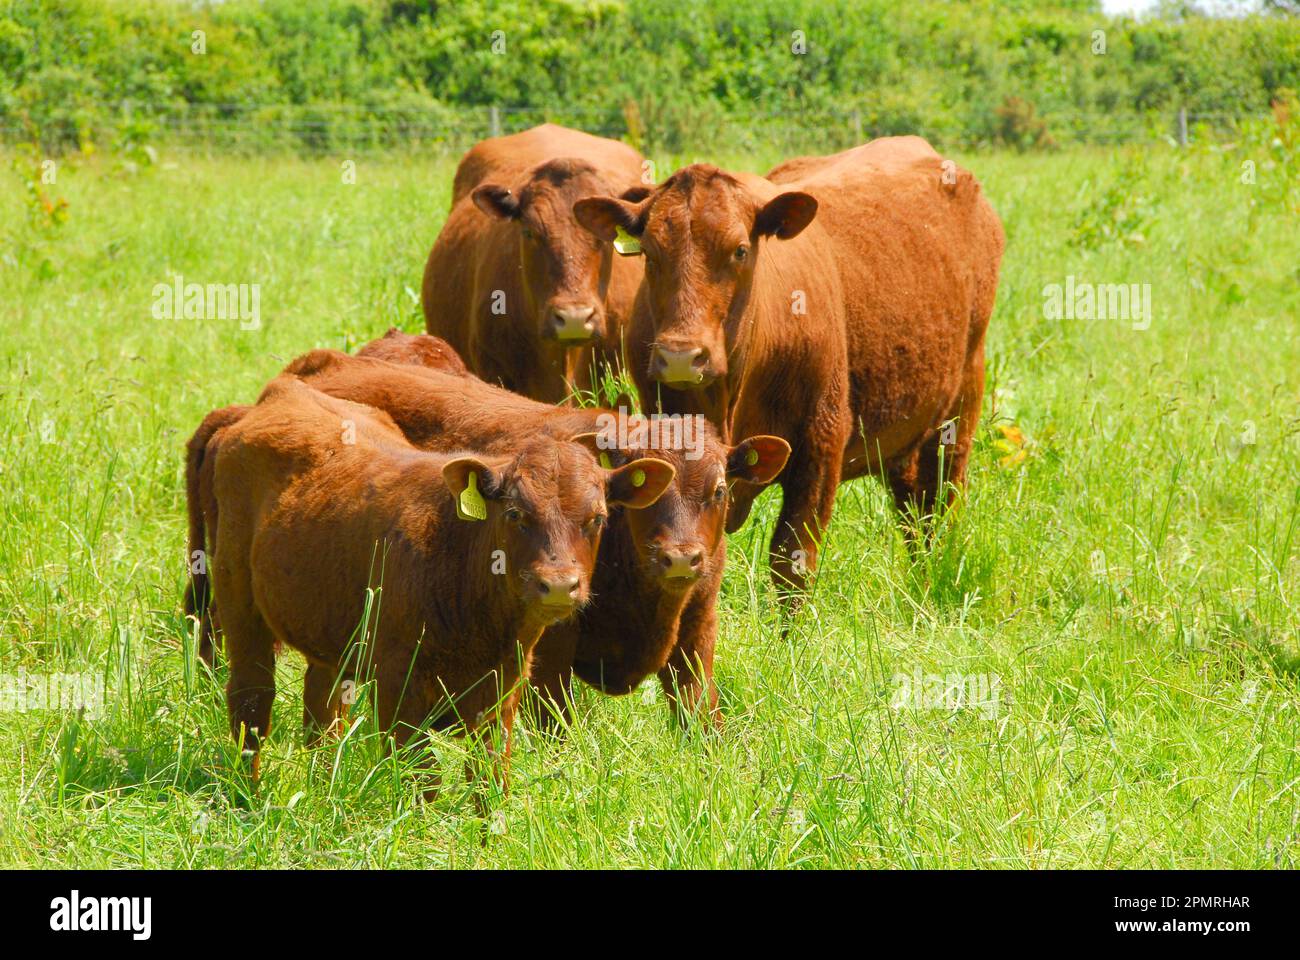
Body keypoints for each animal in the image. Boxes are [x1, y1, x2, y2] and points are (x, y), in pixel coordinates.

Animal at [205, 374, 675, 797]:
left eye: (597, 517)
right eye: (515, 514)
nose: (559, 585)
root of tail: (283, 391)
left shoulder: (502, 691)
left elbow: (488, 779)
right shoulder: (398, 688)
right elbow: (422, 780)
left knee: (322, 709)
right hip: (239, 605)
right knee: (251, 702)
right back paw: (248, 799)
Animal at [573, 136, 1004, 602]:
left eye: (740, 250)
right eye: (649, 254)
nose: (682, 355)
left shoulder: (821, 445)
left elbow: (791, 561)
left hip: (961, 407)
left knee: (938, 508)